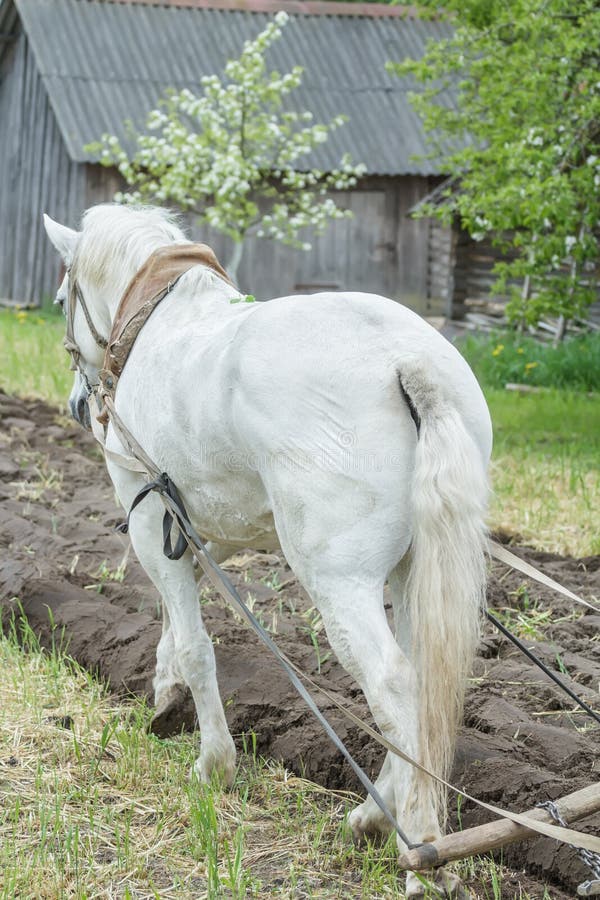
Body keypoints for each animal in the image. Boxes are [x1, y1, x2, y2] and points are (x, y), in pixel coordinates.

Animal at [44, 203, 492, 898]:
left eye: (63, 298)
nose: (75, 403)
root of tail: (409, 361)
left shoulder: (149, 516)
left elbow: (197, 645)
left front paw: (213, 763)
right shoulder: (205, 528)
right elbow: (176, 624)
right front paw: (163, 694)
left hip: (336, 579)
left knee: (391, 685)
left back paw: (419, 849)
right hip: (413, 569)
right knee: (420, 684)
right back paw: (374, 814)